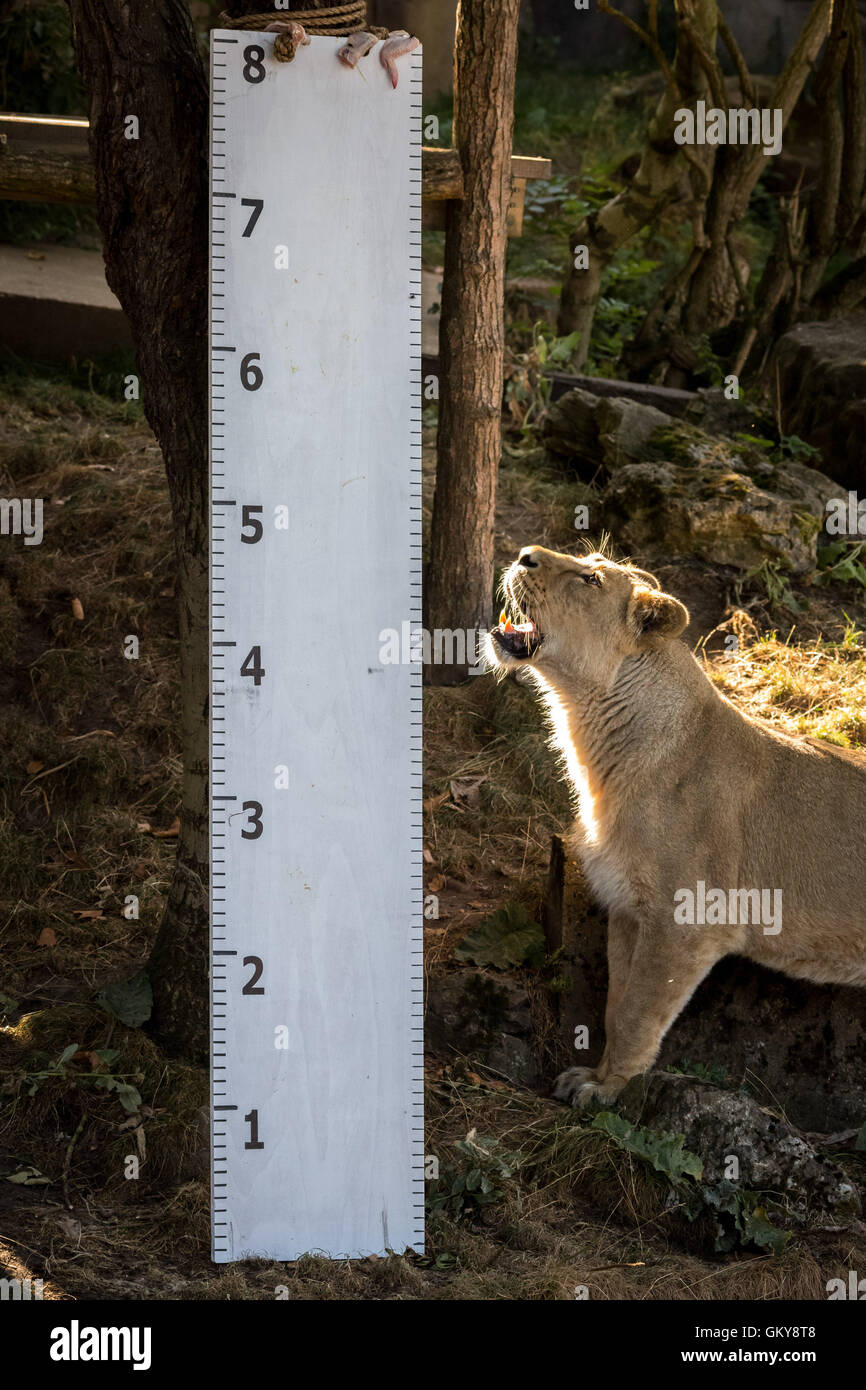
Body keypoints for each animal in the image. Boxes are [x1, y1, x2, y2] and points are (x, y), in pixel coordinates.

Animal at [484, 544, 866, 1107]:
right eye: (590, 561)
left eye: (592, 579)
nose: (524, 553)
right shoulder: (626, 907)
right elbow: (616, 1005)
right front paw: (596, 1076)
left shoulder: (689, 921)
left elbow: (639, 1013)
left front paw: (609, 1091)